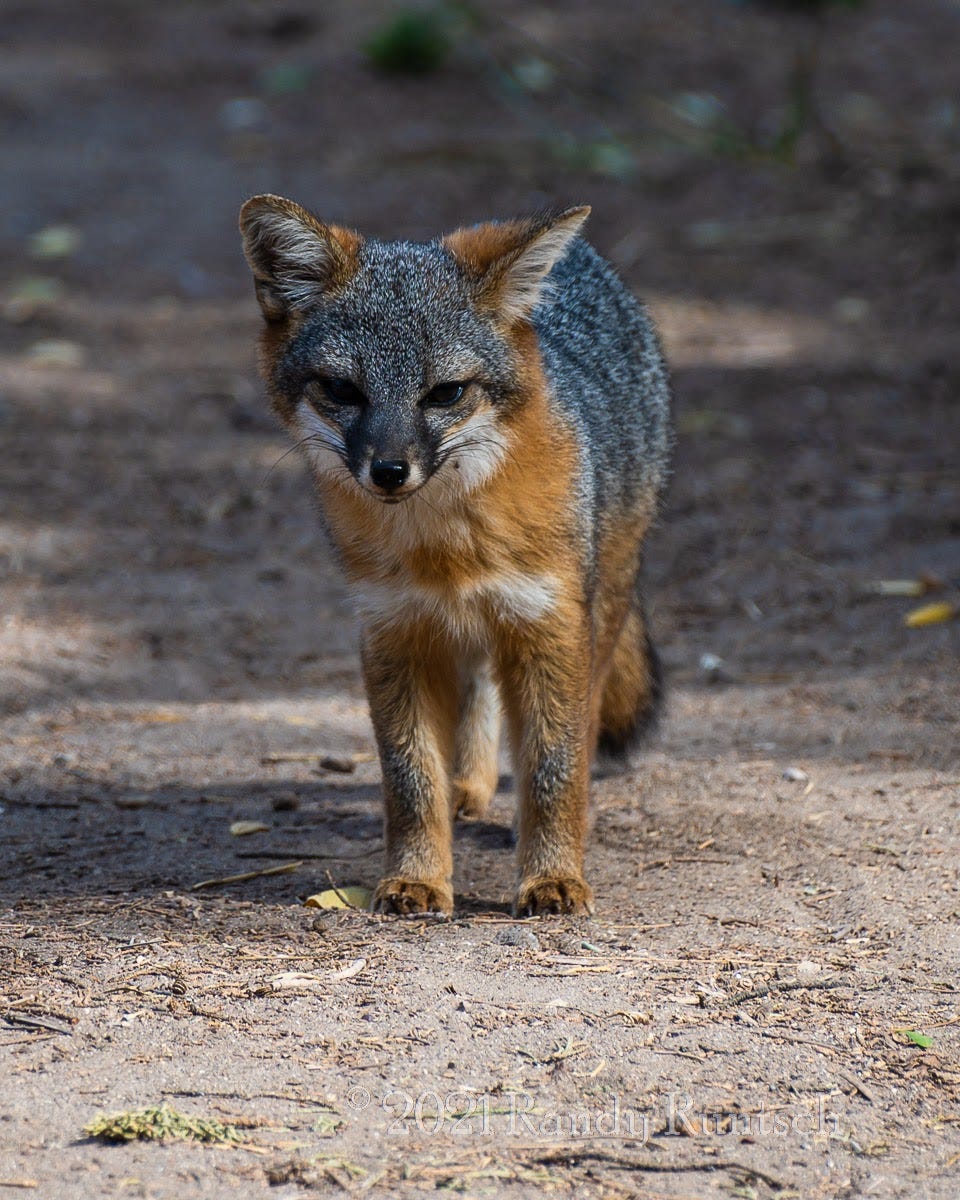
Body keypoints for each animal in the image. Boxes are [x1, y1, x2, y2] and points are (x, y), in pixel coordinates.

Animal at [239, 195, 672, 917]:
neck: (446, 546)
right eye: (343, 390)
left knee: (572, 718)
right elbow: (410, 777)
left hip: (601, 597)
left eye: (444, 393)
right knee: (478, 684)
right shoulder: (393, 630)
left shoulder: (551, 623)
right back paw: (469, 784)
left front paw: (552, 875)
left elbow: (553, 765)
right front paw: (417, 876)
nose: (389, 470)